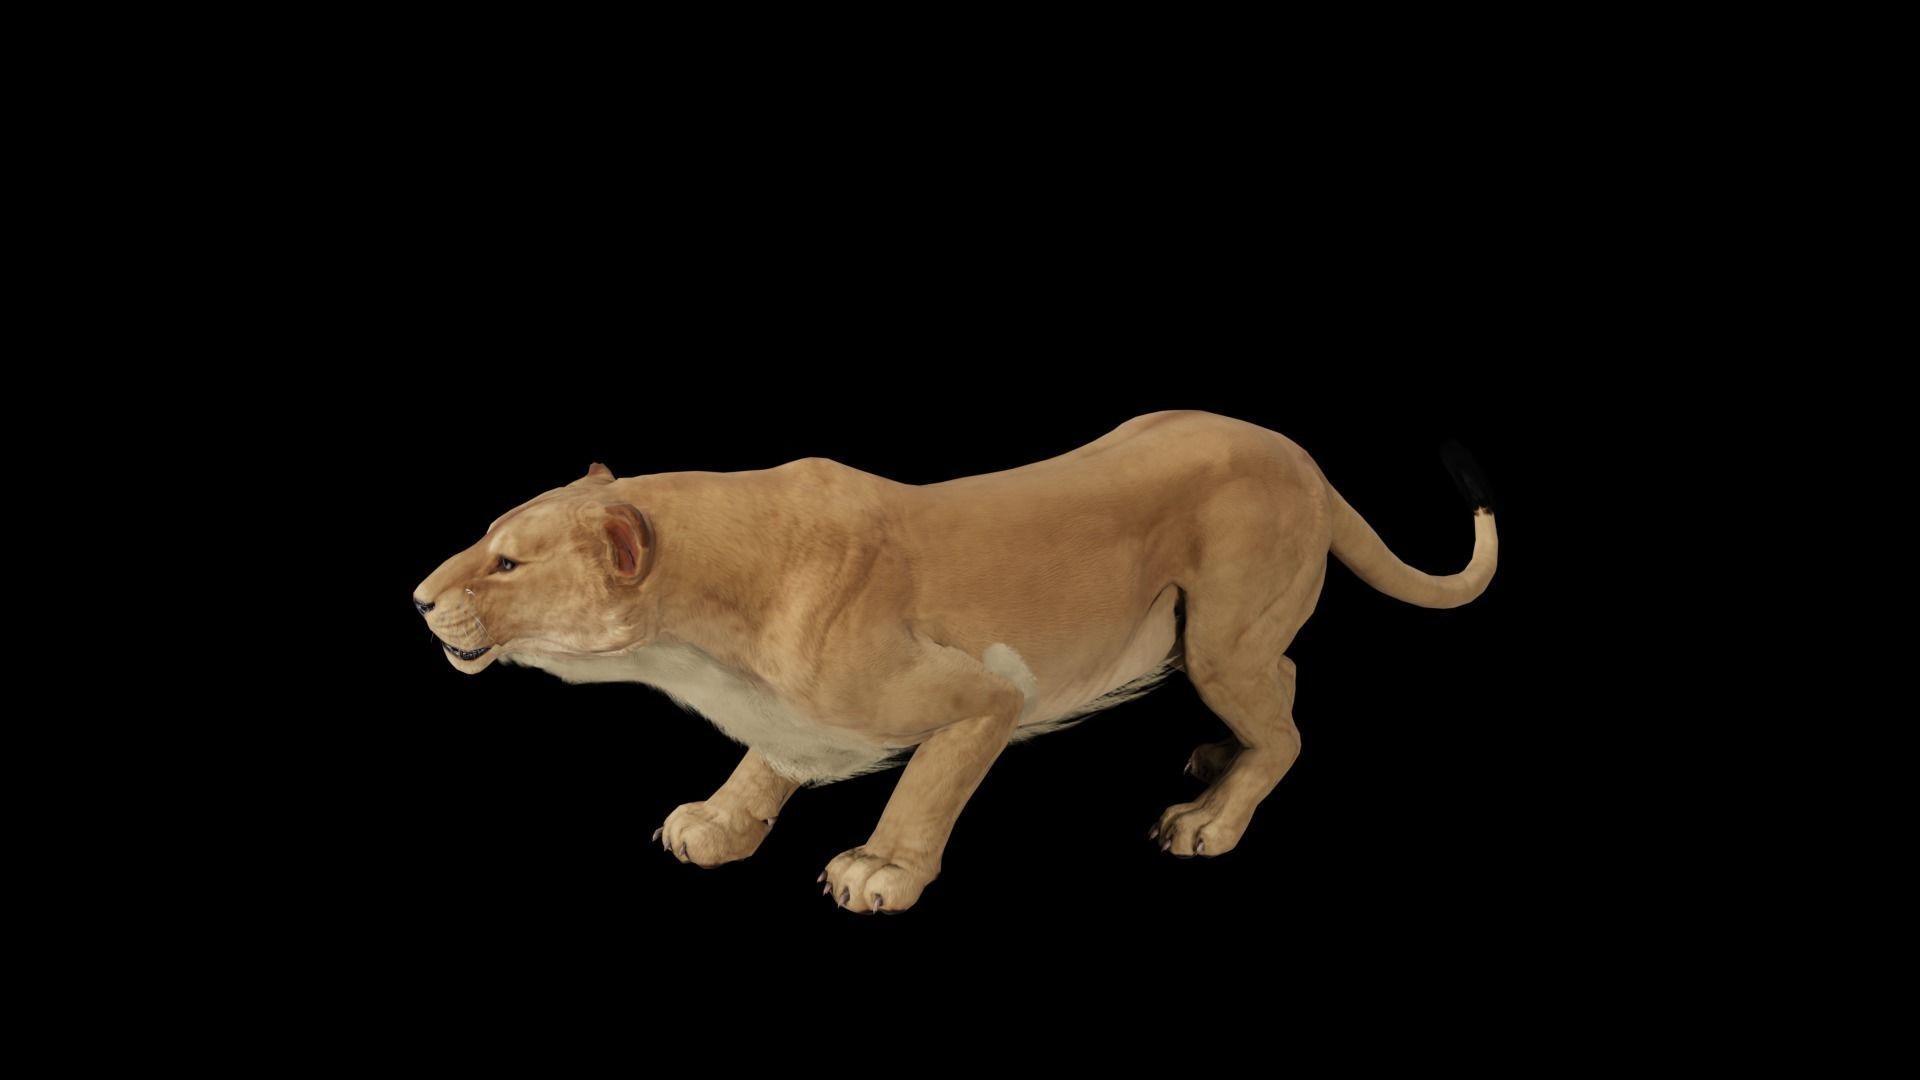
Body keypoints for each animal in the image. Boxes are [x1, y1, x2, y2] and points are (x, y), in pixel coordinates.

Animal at [413, 411, 1497, 912]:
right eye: (489, 538)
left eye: (507, 562)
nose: (418, 598)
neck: (699, 631)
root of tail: (1300, 455)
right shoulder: (788, 715)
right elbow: (764, 763)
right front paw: (715, 824)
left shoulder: (982, 696)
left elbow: (922, 790)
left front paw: (878, 869)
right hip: (1218, 640)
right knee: (1287, 687)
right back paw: (1211, 761)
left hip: (1223, 633)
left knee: (1289, 721)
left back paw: (1206, 819)